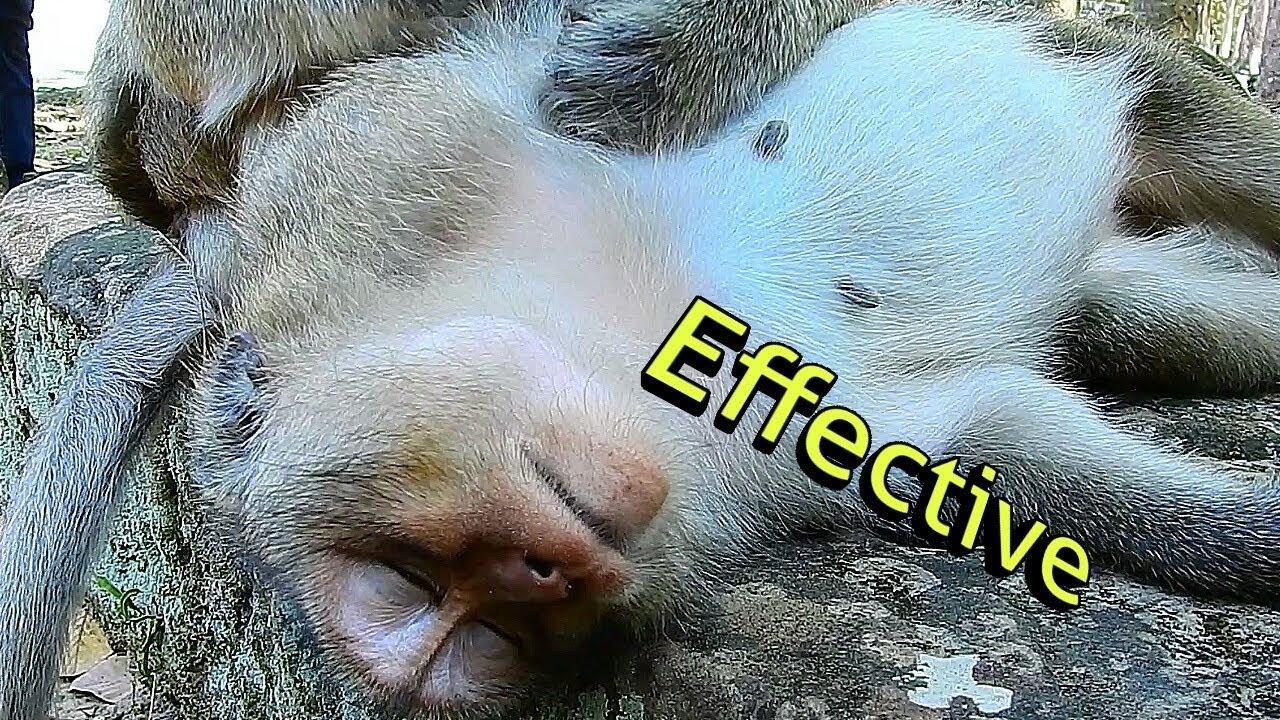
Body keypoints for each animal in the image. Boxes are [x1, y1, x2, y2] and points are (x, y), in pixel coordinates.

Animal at [9, 2, 1280, 719]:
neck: (606, 337)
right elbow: (1003, 442)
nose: (541, 573)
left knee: (1159, 94)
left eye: (415, 581)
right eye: (478, 628)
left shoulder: (371, 172)